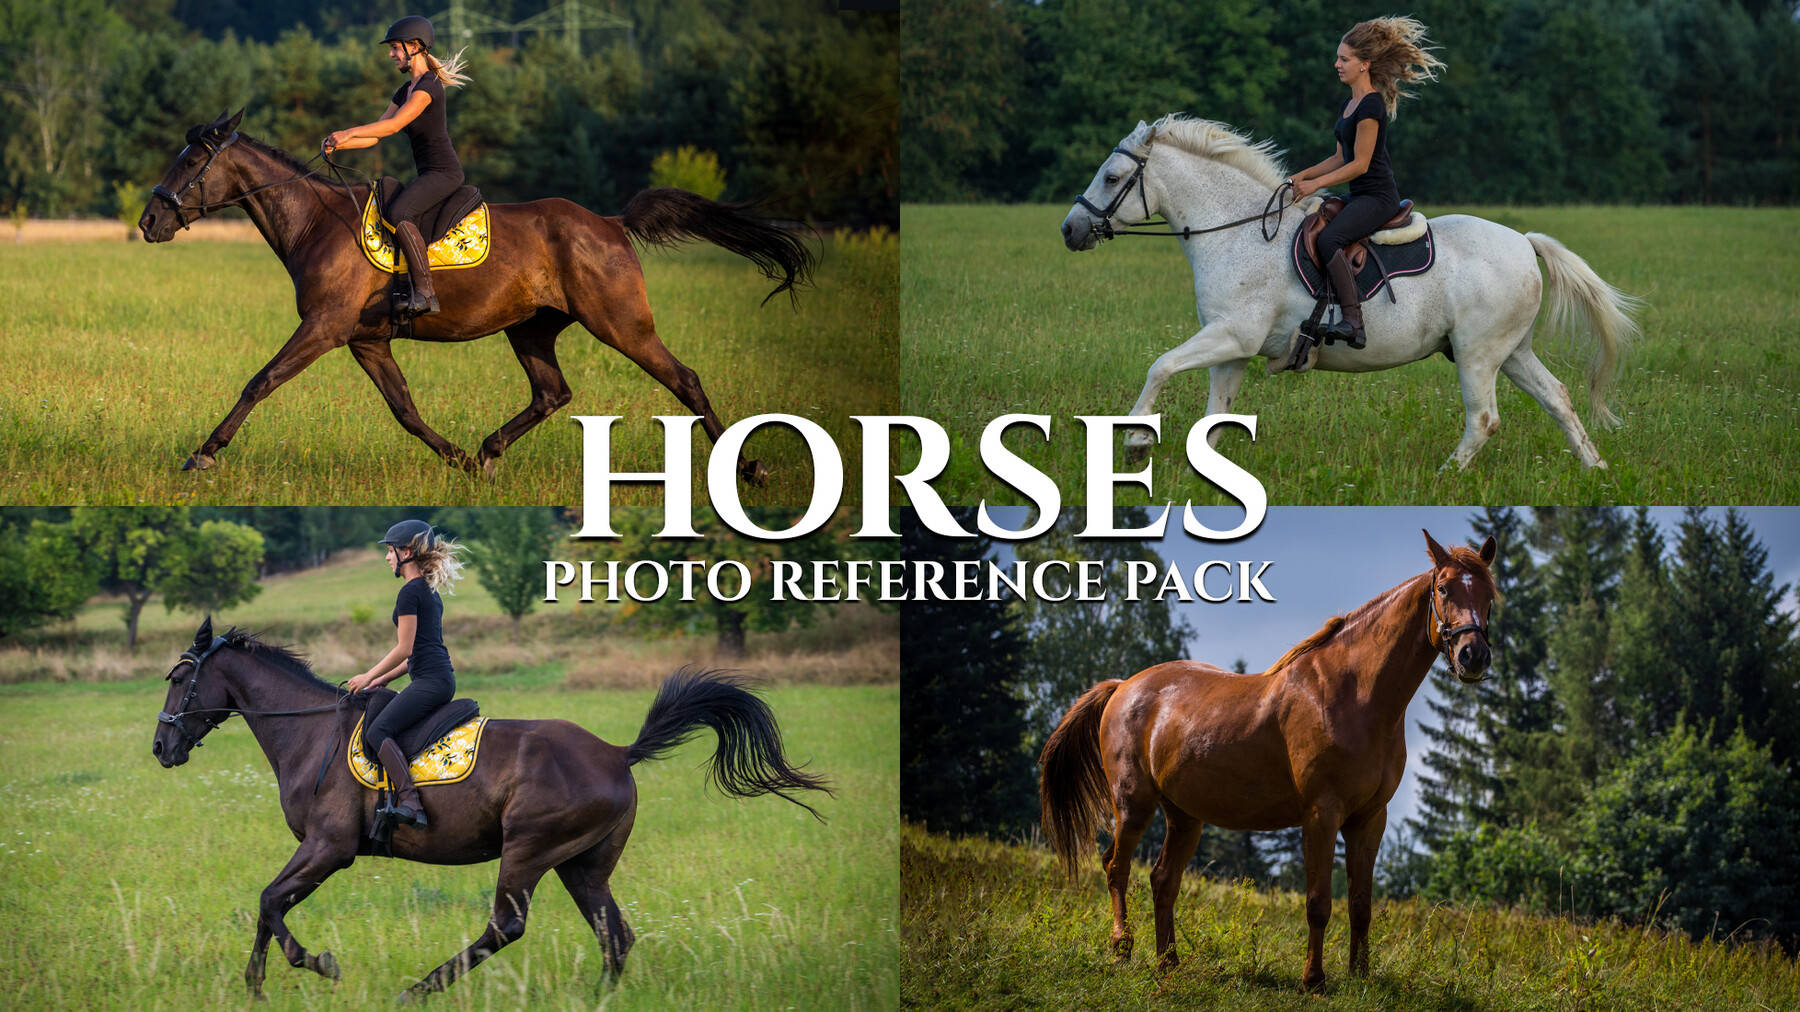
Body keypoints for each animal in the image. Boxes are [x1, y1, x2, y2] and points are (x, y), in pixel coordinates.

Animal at [136, 109, 816, 483]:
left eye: (191, 161)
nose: (149, 221)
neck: (315, 222)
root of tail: (609, 223)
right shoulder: (364, 341)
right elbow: (406, 411)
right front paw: (460, 461)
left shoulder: (324, 328)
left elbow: (261, 381)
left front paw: (203, 454)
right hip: (531, 327)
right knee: (552, 393)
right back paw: (488, 453)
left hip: (622, 324)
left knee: (685, 379)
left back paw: (748, 468)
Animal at [150, 617, 830, 1000]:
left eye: (179, 677)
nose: (160, 747)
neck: (308, 731)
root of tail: (618, 753)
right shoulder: (320, 851)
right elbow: (268, 904)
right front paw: (257, 984)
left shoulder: (329, 848)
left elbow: (270, 900)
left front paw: (313, 965)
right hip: (582, 865)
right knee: (614, 935)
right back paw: (595, 998)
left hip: (528, 849)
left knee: (507, 926)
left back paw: (420, 989)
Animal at [1039, 530, 1496, 989]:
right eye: (1443, 588)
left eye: (1489, 594)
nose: (1473, 656)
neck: (1354, 695)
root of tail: (1123, 686)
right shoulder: (1321, 813)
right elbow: (1318, 902)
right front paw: (1314, 981)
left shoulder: (1369, 818)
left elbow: (1360, 904)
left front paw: (1360, 977)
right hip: (1133, 803)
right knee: (1116, 867)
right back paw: (1122, 949)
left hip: (1183, 815)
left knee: (1163, 879)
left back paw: (1168, 961)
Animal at [1061, 115, 1642, 471]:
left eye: (1111, 177)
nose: (1069, 230)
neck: (1237, 232)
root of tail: (1523, 241)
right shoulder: (1234, 349)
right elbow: (1212, 416)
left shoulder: (1230, 336)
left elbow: (1159, 365)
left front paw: (1135, 442)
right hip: (1511, 351)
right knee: (1559, 399)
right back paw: (1596, 468)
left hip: (1477, 354)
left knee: (1483, 419)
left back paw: (1444, 475)